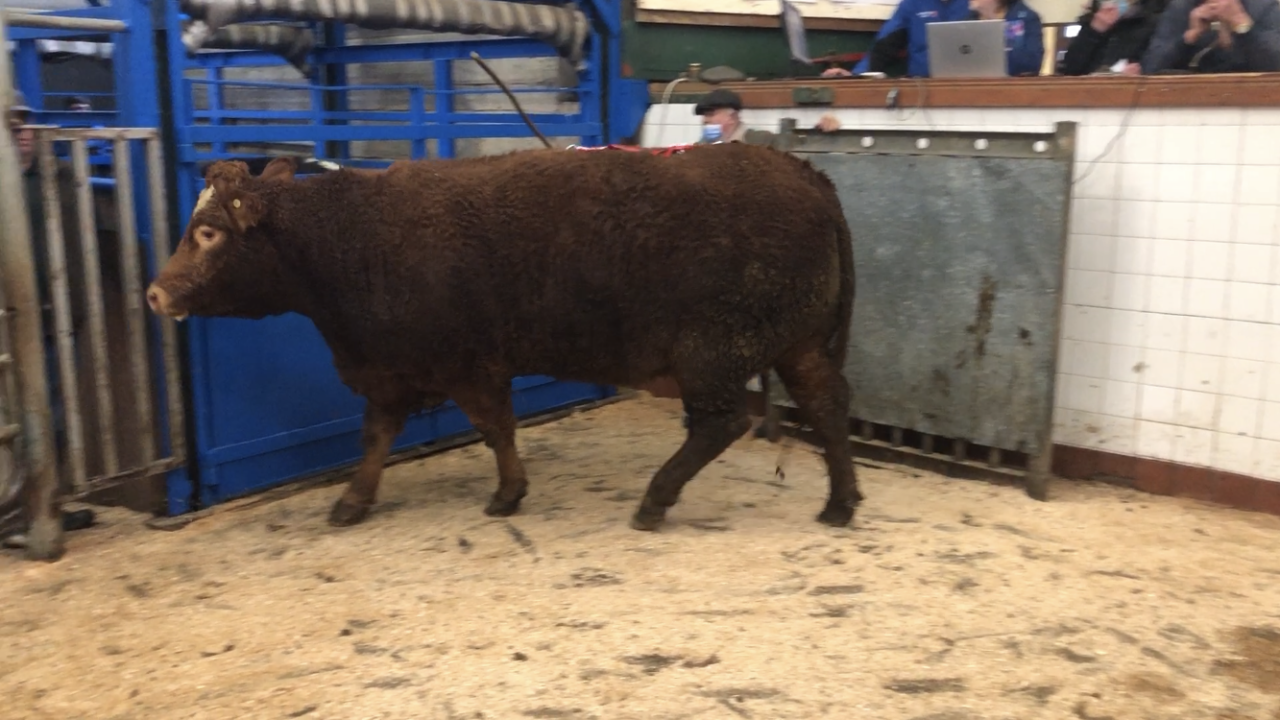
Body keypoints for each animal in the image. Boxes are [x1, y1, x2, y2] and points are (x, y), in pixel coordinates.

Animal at [145, 142, 860, 532]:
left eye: (207, 232)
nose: (155, 293)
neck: (352, 237)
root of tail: (806, 176)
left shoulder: (466, 362)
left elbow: (495, 428)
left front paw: (508, 493)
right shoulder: (394, 367)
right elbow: (375, 438)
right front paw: (354, 500)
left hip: (714, 350)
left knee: (721, 422)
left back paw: (656, 499)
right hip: (798, 343)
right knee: (826, 408)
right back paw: (840, 503)